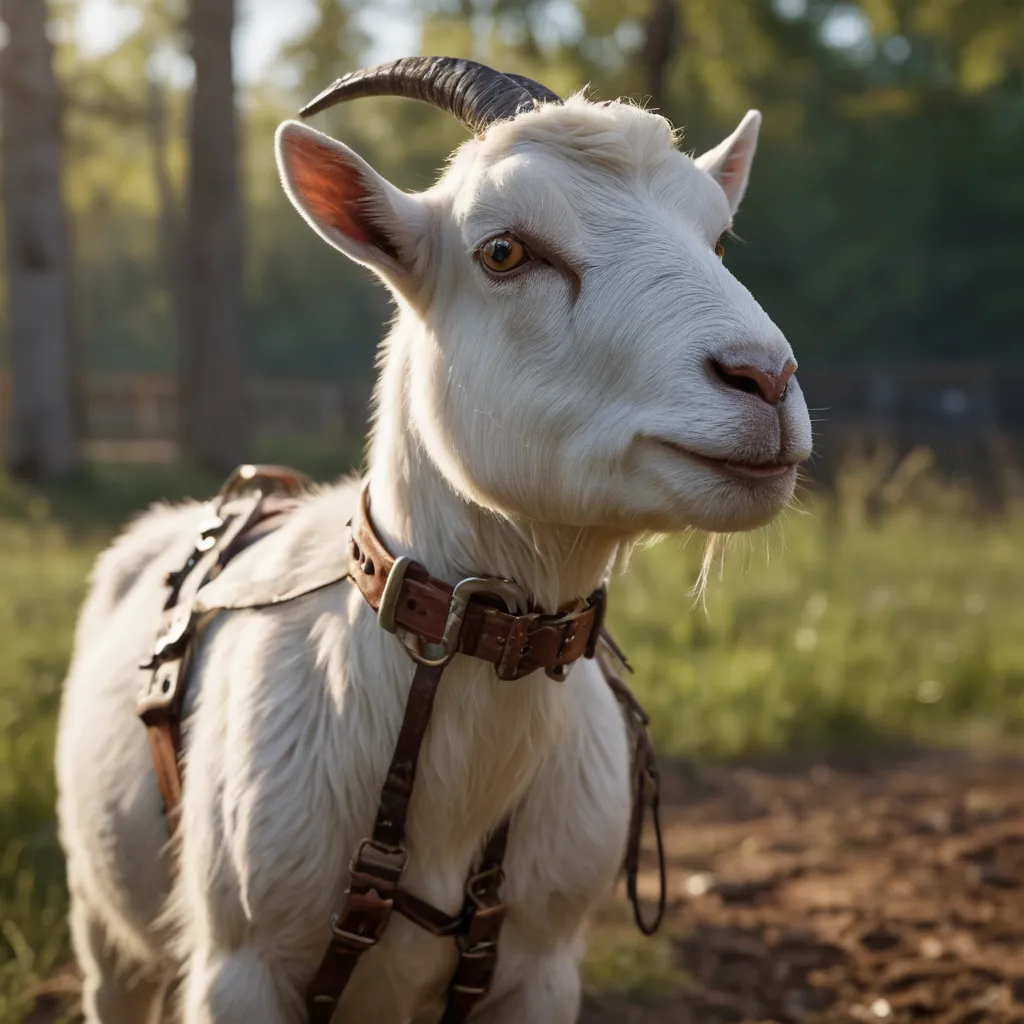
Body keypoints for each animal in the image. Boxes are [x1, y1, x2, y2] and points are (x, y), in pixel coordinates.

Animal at [56, 57, 812, 1024]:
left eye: (717, 243)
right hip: (102, 920)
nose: (766, 378)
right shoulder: (240, 965)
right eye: (504, 252)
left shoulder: (541, 968)